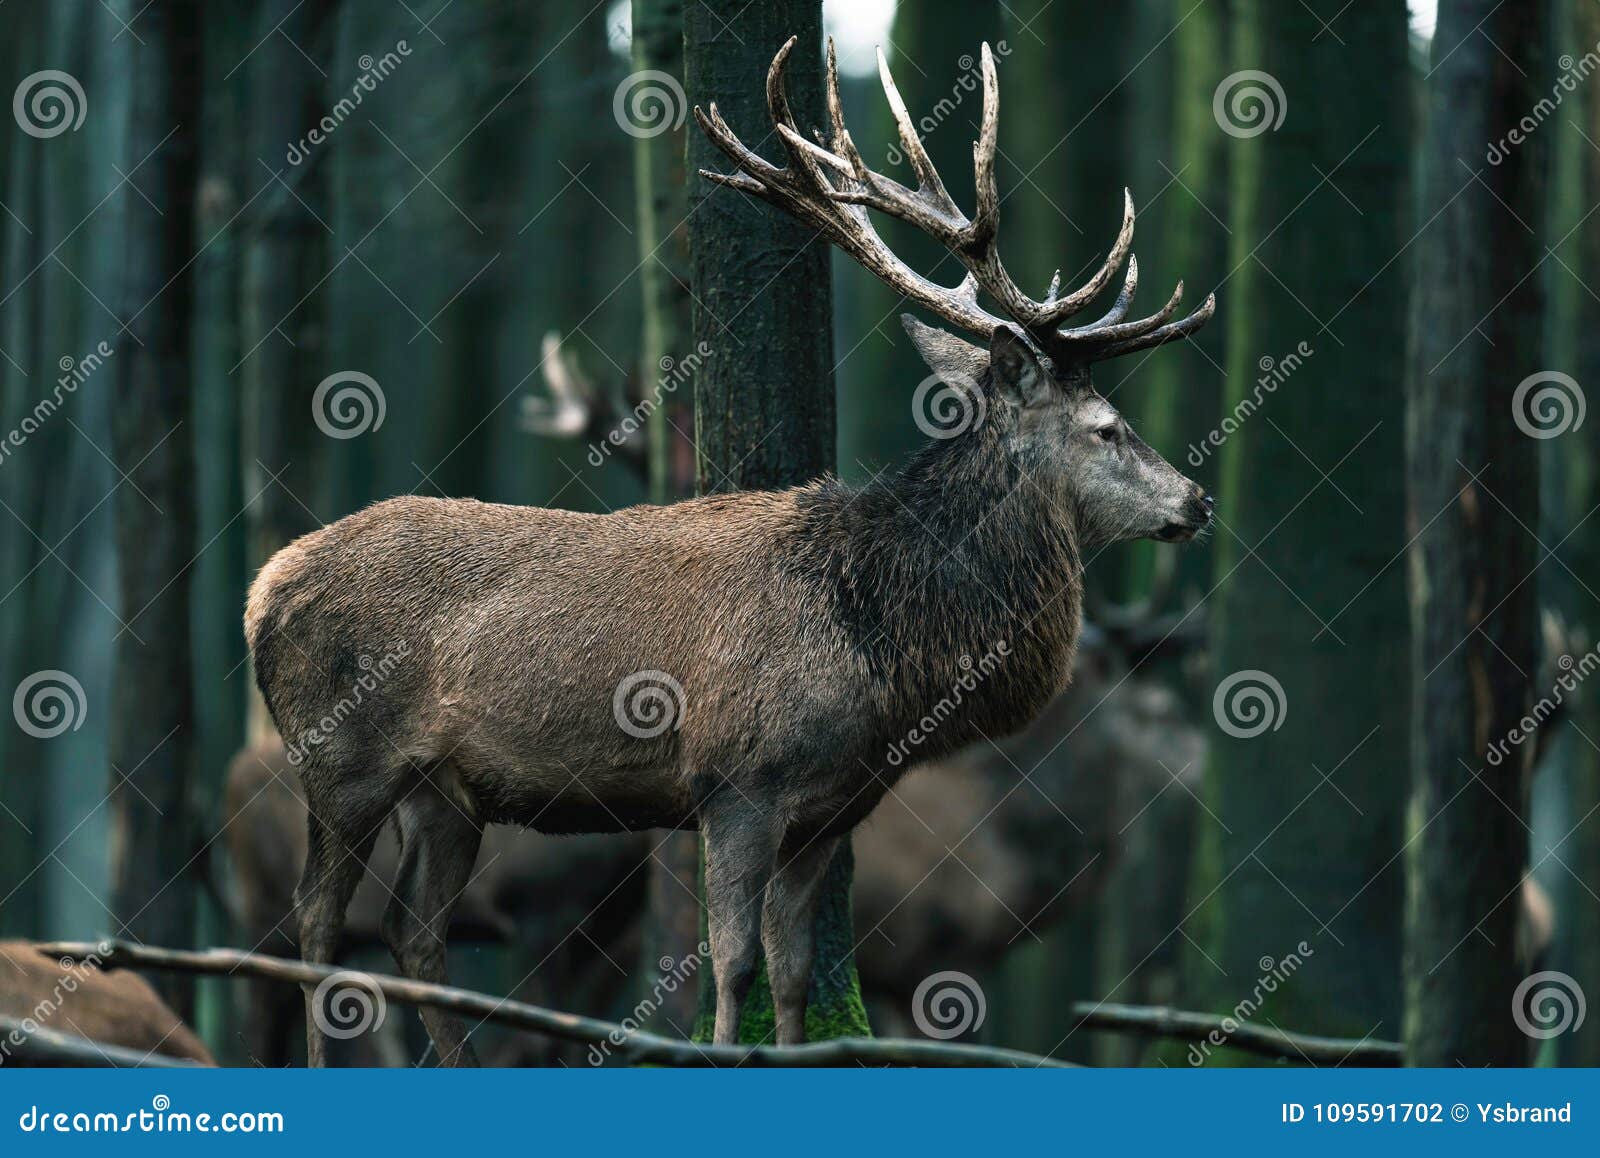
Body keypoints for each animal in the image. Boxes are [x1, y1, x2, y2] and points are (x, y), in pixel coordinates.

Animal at [245, 35, 1216, 1066]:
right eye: (1108, 427)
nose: (1197, 499)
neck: (882, 649)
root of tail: (264, 590)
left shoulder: (831, 810)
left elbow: (791, 973)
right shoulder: (739, 781)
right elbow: (733, 963)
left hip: (448, 792)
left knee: (413, 931)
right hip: (340, 758)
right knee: (317, 924)